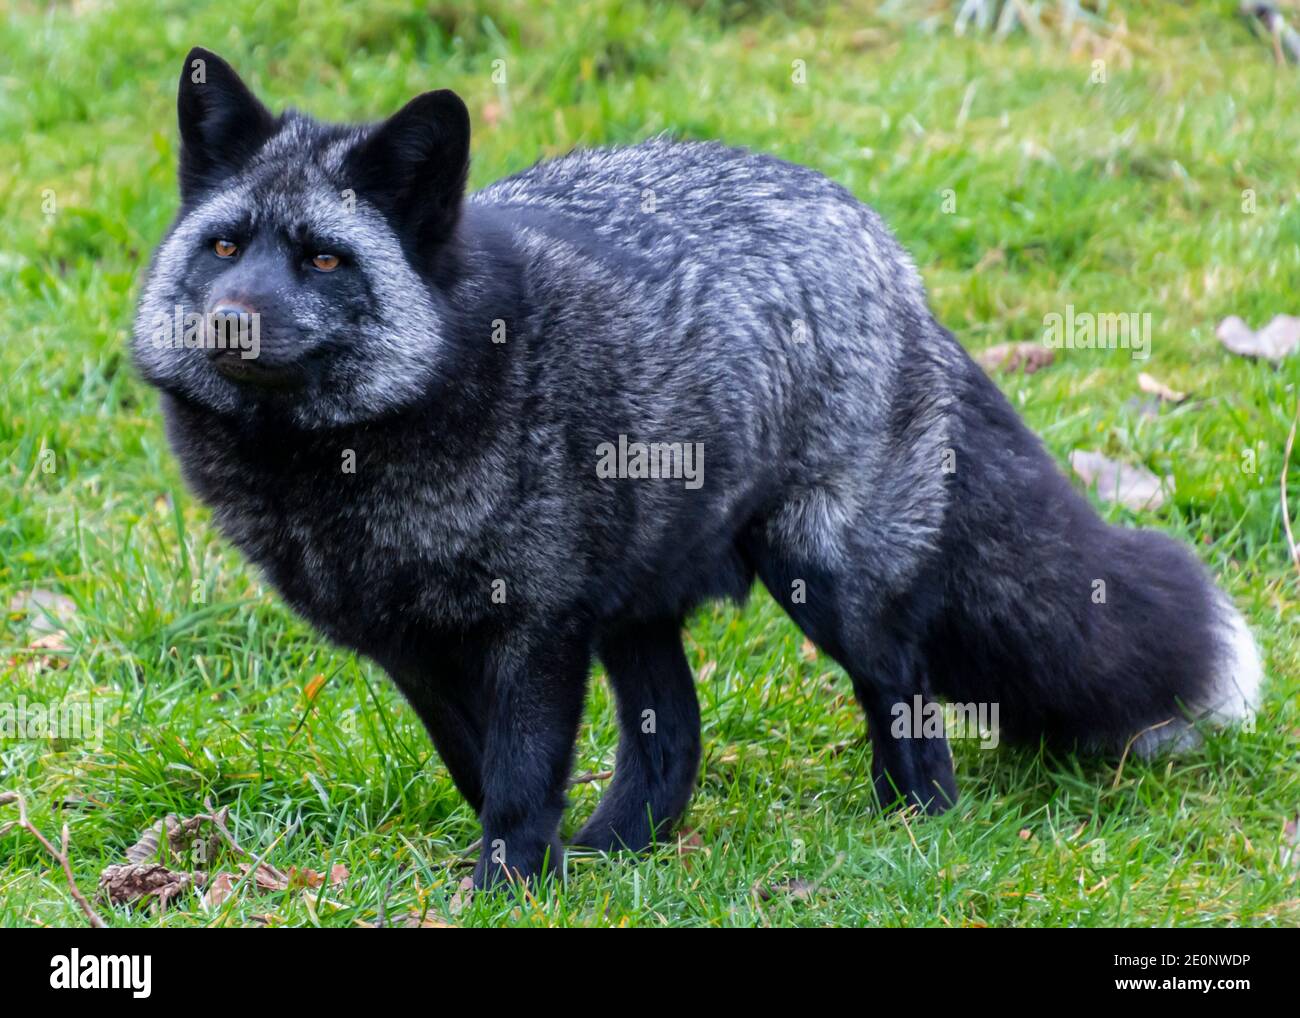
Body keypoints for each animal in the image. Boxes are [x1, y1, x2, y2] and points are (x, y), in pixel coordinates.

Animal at [134, 48, 1262, 888]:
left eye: (325, 260)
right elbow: (476, 769)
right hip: (637, 608)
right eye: (225, 247)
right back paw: (615, 853)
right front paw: (539, 872)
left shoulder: (537, 628)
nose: (229, 321)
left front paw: (506, 889)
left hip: (825, 581)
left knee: (903, 693)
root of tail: (888, 253)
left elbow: (517, 777)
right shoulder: (411, 651)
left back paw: (915, 829)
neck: (340, 461)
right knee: (675, 736)